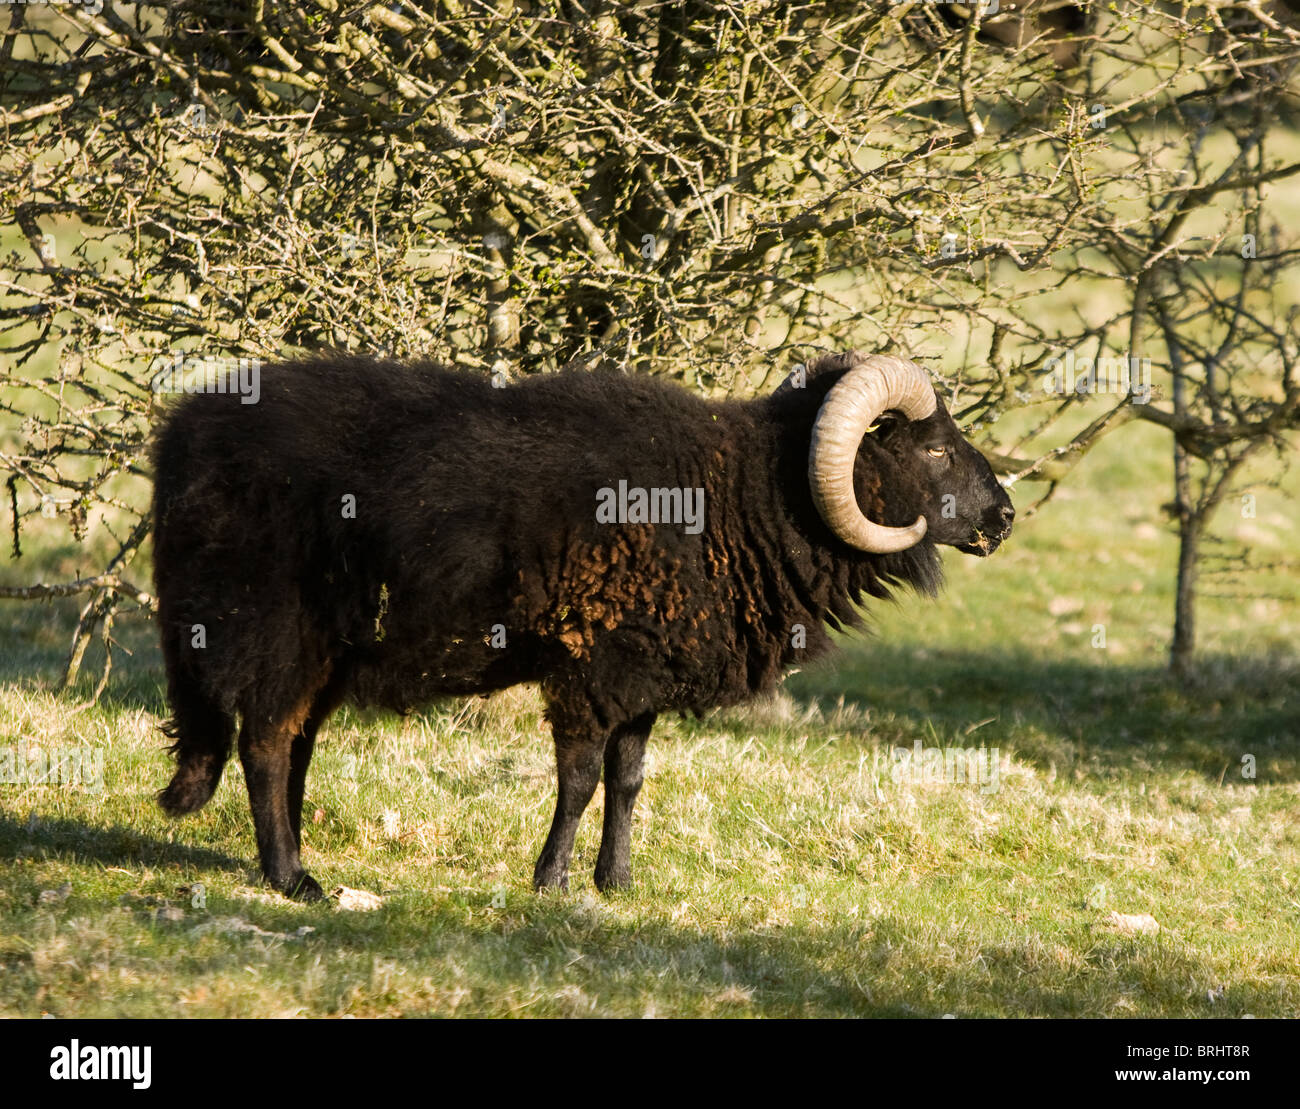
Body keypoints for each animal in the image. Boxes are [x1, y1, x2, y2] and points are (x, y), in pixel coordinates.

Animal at [150, 350, 1014, 899]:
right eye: (935, 450)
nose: (1003, 518)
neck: (737, 500)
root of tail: (184, 429)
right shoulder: (591, 666)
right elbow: (580, 779)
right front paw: (553, 881)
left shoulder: (643, 672)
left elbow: (628, 780)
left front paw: (618, 882)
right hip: (272, 628)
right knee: (265, 746)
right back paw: (291, 878)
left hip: (327, 650)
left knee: (294, 747)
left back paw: (290, 861)